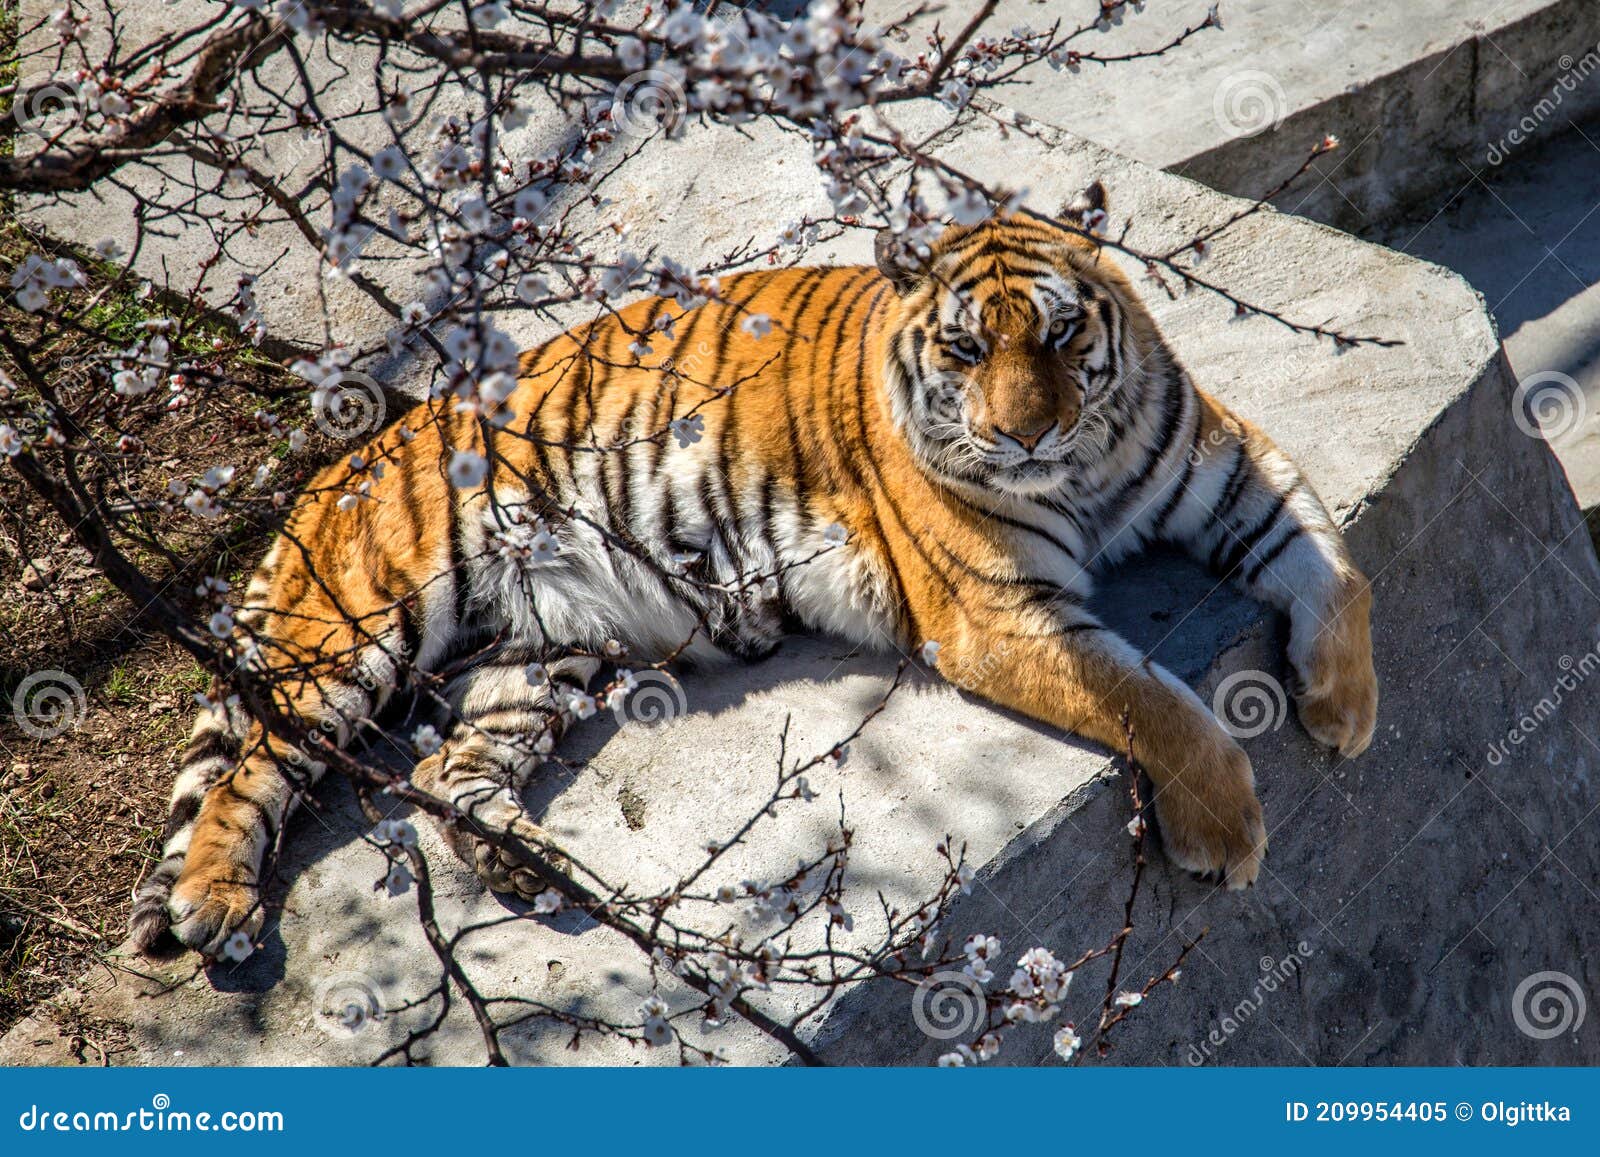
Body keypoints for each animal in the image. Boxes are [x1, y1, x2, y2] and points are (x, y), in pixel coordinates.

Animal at [131, 184, 1378, 959]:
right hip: (362, 628)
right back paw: (215, 902)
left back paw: (531, 867)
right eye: (966, 347)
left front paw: (1343, 707)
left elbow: (1333, 564)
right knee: (254, 766)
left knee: (449, 770)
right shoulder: (998, 611)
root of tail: (337, 462)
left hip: (540, 648)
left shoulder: (1228, 462)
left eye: (1063, 337)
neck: (1089, 457)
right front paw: (1226, 833)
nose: (1020, 434)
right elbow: (1153, 704)